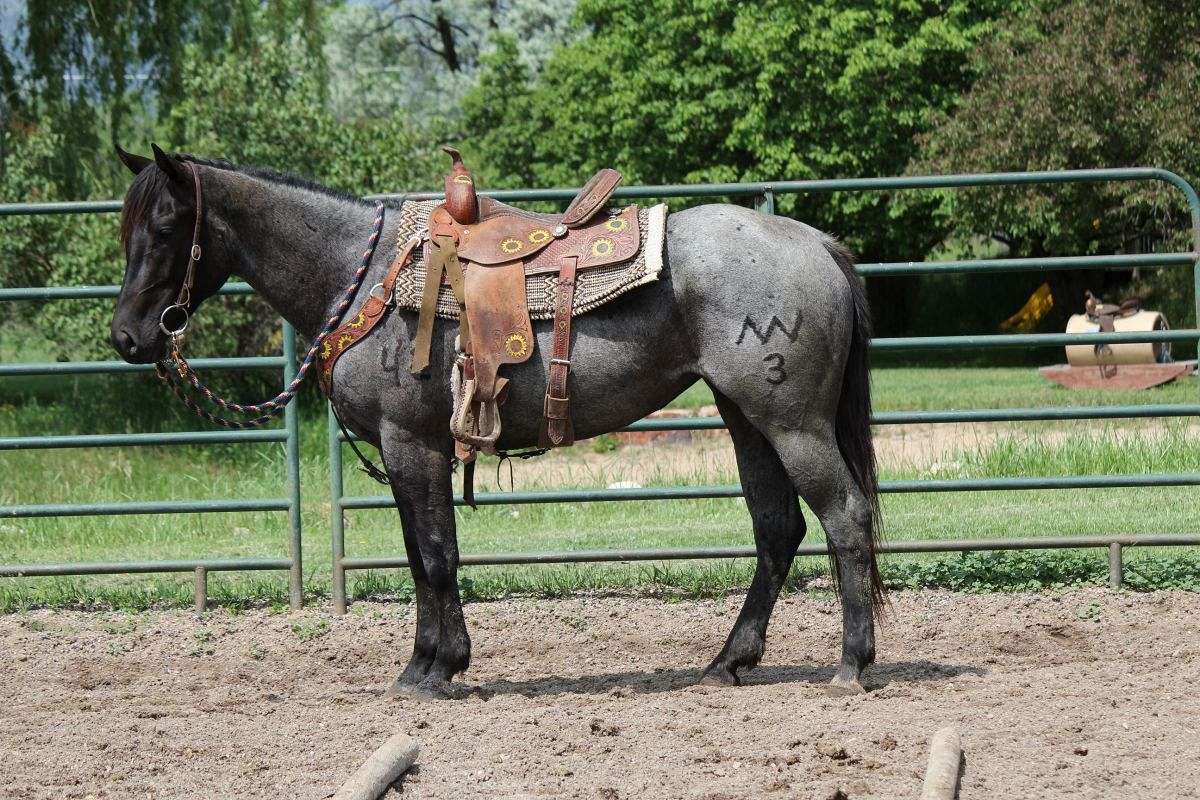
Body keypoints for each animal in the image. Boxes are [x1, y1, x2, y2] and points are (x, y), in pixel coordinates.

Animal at [109, 145, 884, 698]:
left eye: (167, 225)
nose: (127, 337)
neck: (360, 277)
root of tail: (817, 245)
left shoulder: (410, 443)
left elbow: (432, 555)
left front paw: (431, 669)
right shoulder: (419, 448)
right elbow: (428, 552)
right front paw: (436, 662)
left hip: (791, 422)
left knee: (844, 515)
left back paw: (851, 663)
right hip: (745, 418)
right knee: (777, 529)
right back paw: (728, 660)